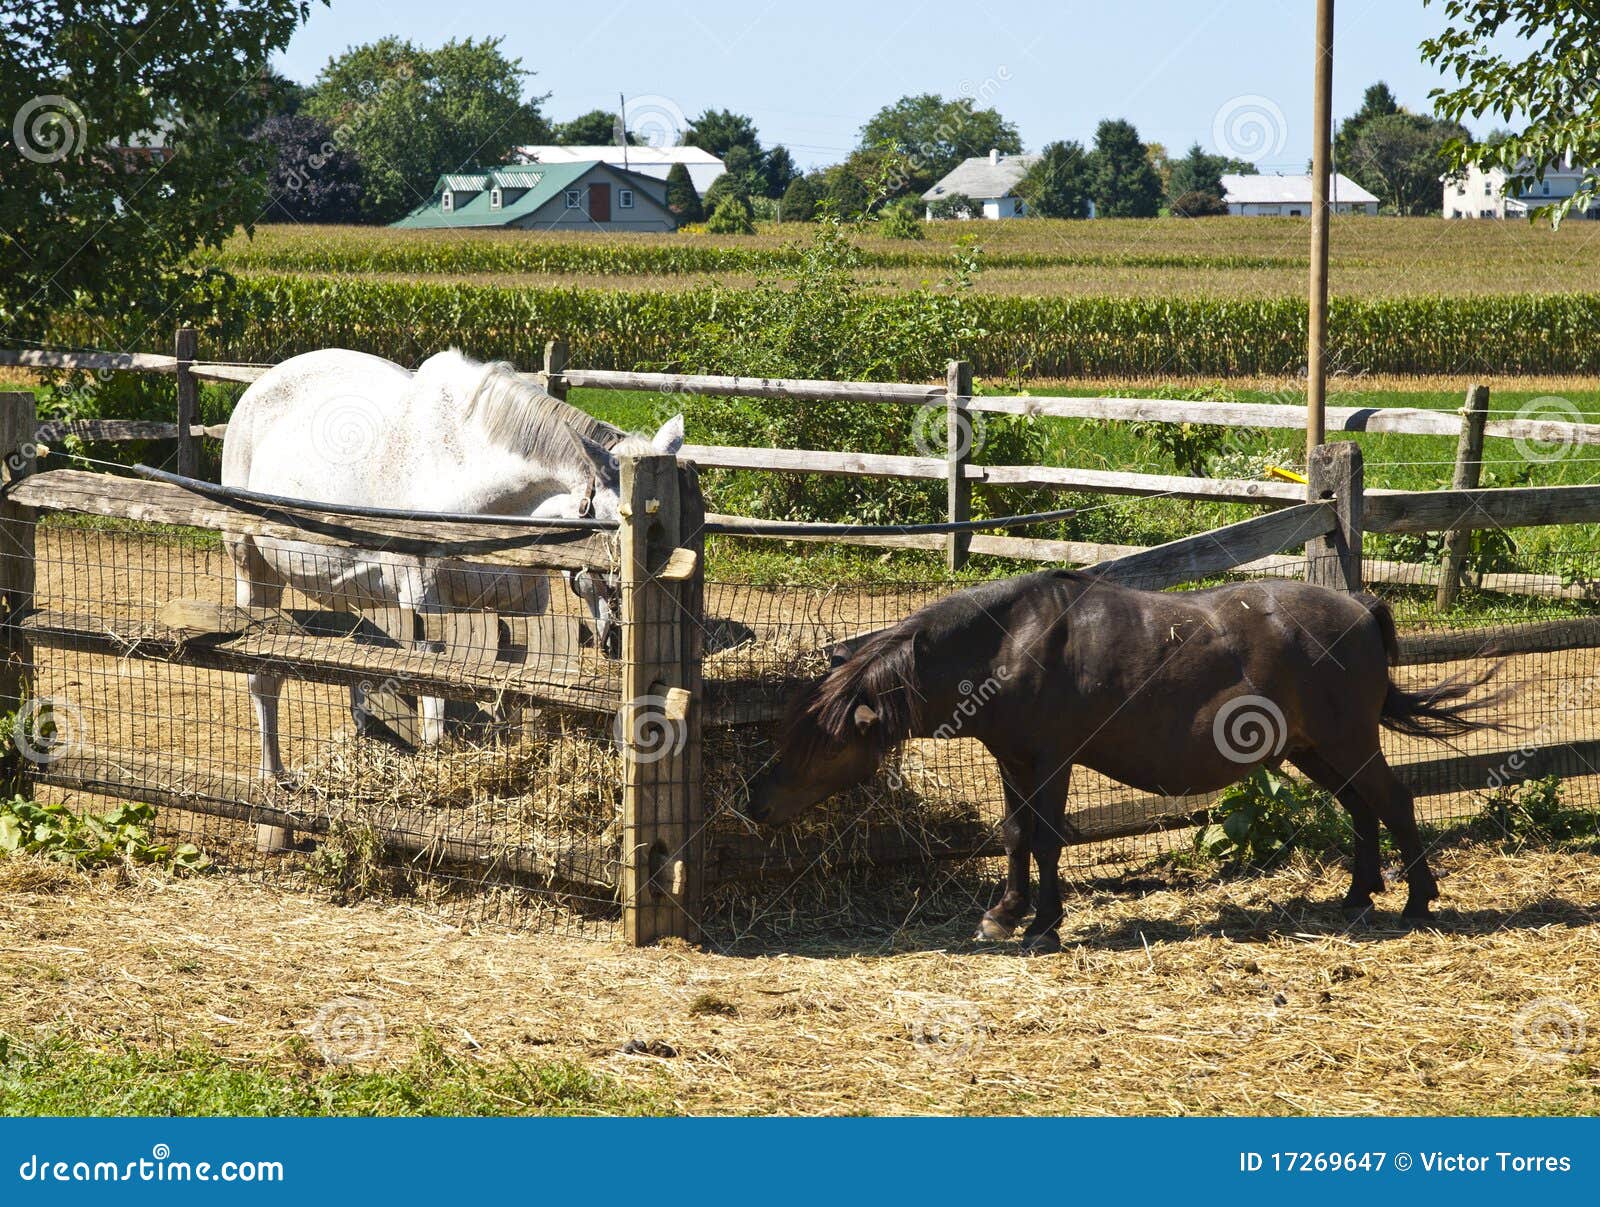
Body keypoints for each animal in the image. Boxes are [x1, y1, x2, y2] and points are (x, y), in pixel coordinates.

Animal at [221, 348, 684, 851]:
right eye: (626, 530)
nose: (619, 639)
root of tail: (259, 388)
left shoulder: (524, 607)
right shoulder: (426, 608)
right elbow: (435, 722)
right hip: (252, 568)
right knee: (263, 679)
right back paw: (273, 806)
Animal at [747, 569, 1508, 953]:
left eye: (819, 742)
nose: (753, 801)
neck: (1006, 645)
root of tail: (1359, 604)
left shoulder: (1052, 761)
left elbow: (1047, 840)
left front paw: (1044, 921)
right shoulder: (1012, 760)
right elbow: (1016, 836)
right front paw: (1006, 912)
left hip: (1347, 742)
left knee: (1394, 802)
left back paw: (1416, 900)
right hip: (1317, 750)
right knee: (1361, 808)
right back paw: (1357, 895)